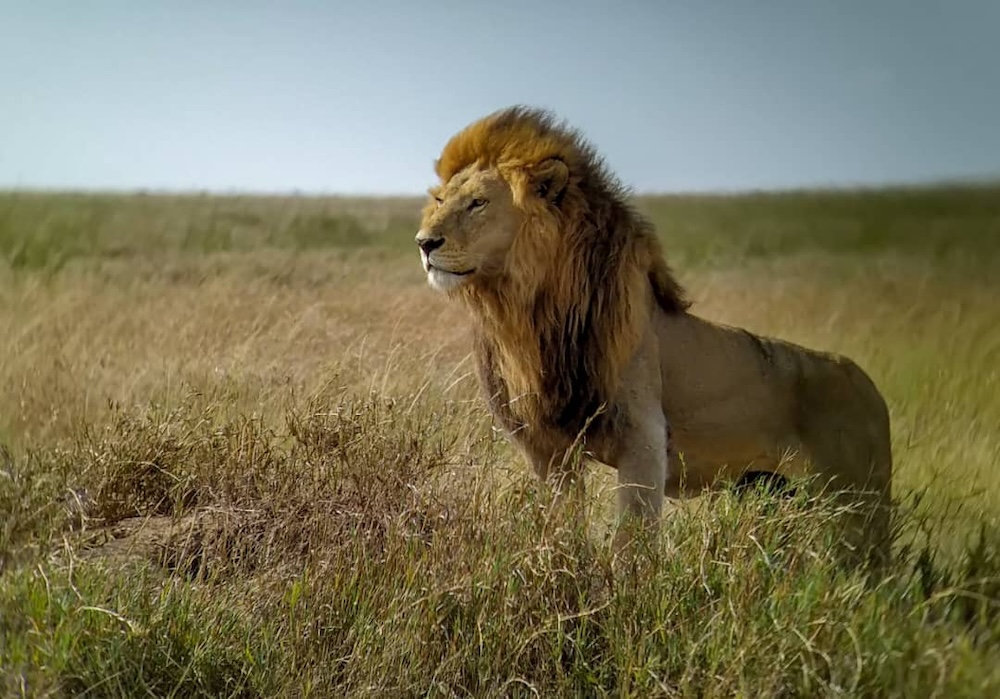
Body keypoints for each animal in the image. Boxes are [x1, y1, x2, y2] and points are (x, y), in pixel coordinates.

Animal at [414, 106, 892, 567]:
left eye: (478, 203)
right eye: (439, 200)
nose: (424, 242)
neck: (528, 317)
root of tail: (868, 385)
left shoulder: (643, 437)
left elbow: (632, 540)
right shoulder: (549, 450)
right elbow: (563, 528)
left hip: (858, 503)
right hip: (773, 491)